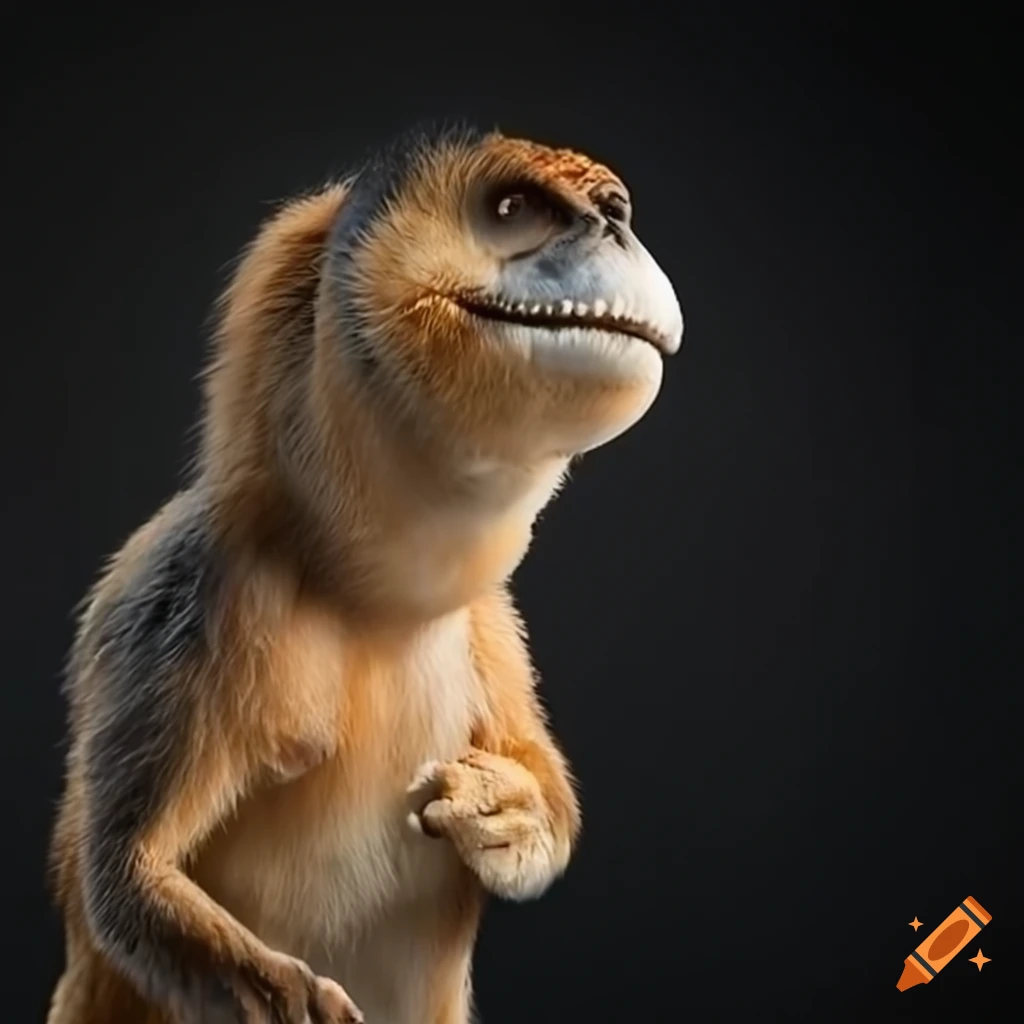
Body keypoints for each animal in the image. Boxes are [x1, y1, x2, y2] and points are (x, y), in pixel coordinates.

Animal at [45, 122, 684, 1024]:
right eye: (512, 208)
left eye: (611, 207)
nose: (616, 220)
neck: (365, 594)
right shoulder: (192, 598)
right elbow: (126, 878)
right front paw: (283, 994)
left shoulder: (489, 623)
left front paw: (506, 813)